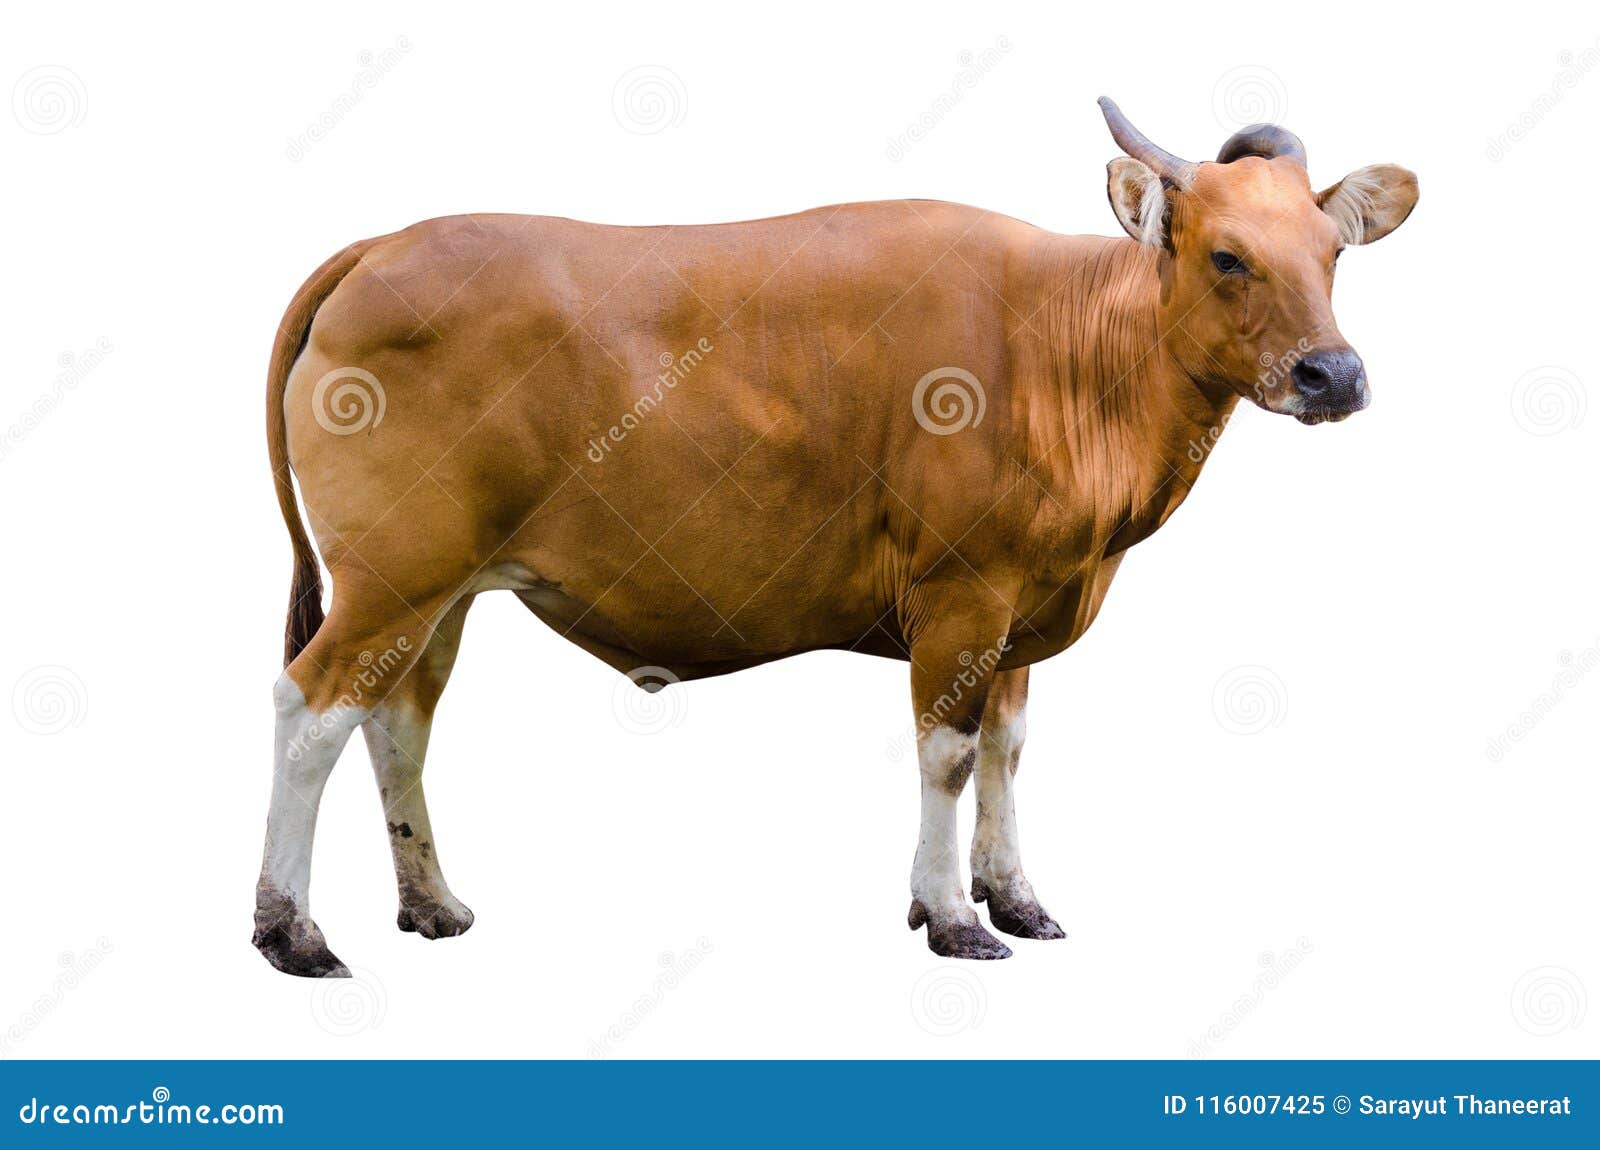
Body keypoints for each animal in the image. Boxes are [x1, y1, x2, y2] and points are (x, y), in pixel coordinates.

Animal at [254, 98, 1417, 976]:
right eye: (1227, 257)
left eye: (1330, 254)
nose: (1335, 375)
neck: (1069, 349)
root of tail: (378, 247)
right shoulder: (961, 594)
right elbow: (948, 753)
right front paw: (949, 914)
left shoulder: (1025, 604)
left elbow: (1008, 748)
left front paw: (1014, 896)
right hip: (391, 576)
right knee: (309, 710)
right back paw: (292, 931)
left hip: (440, 588)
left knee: (397, 722)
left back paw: (431, 903)